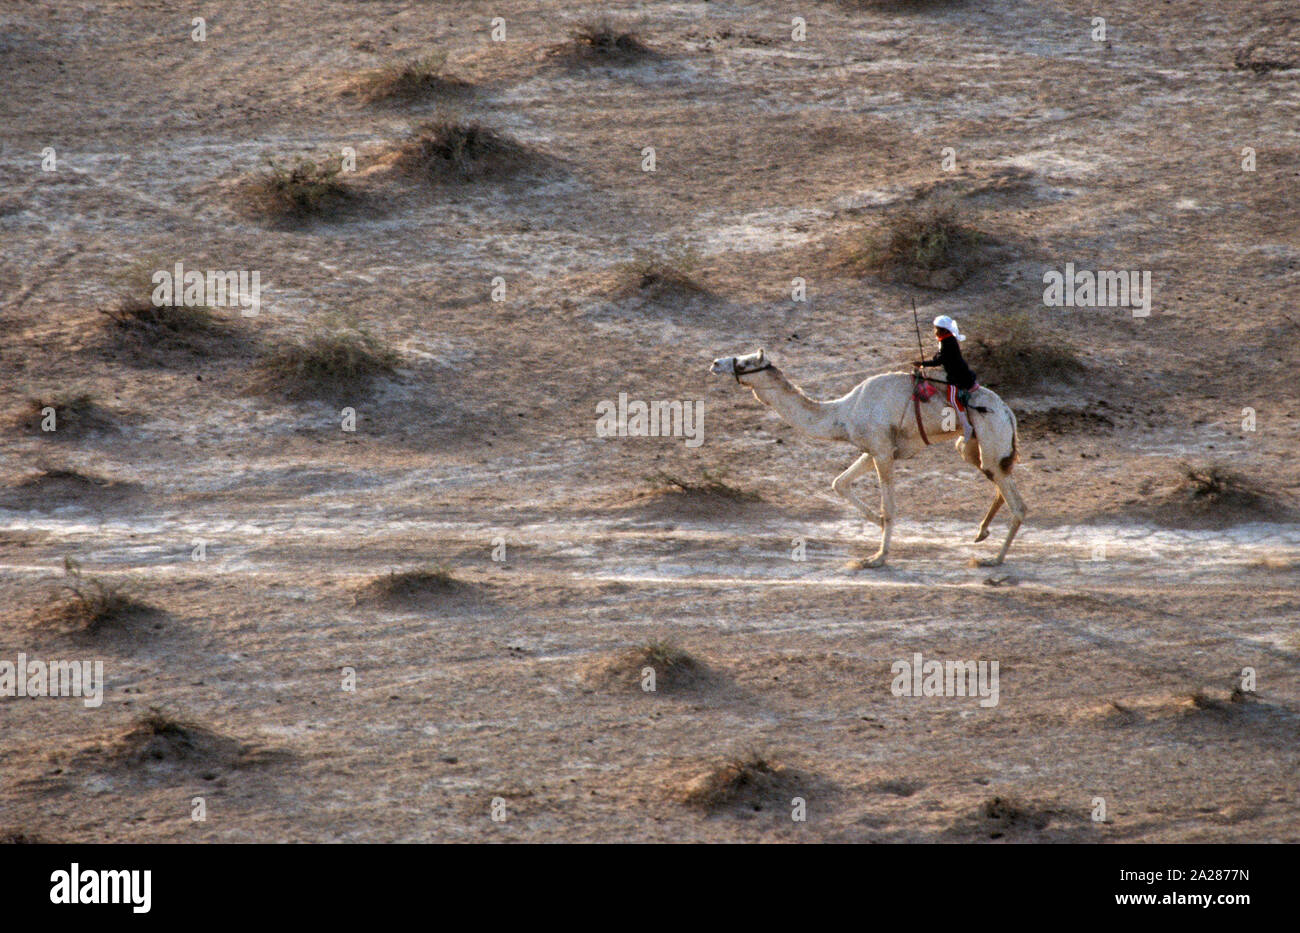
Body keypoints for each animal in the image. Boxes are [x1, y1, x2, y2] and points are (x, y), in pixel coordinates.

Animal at [709, 349, 1026, 567]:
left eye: (746, 363)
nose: (716, 363)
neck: (842, 412)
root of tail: (1008, 413)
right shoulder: (872, 450)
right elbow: (839, 483)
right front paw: (876, 523)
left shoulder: (883, 452)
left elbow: (890, 507)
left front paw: (878, 557)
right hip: (970, 445)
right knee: (996, 479)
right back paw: (981, 533)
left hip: (991, 437)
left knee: (1017, 504)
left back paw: (993, 559)